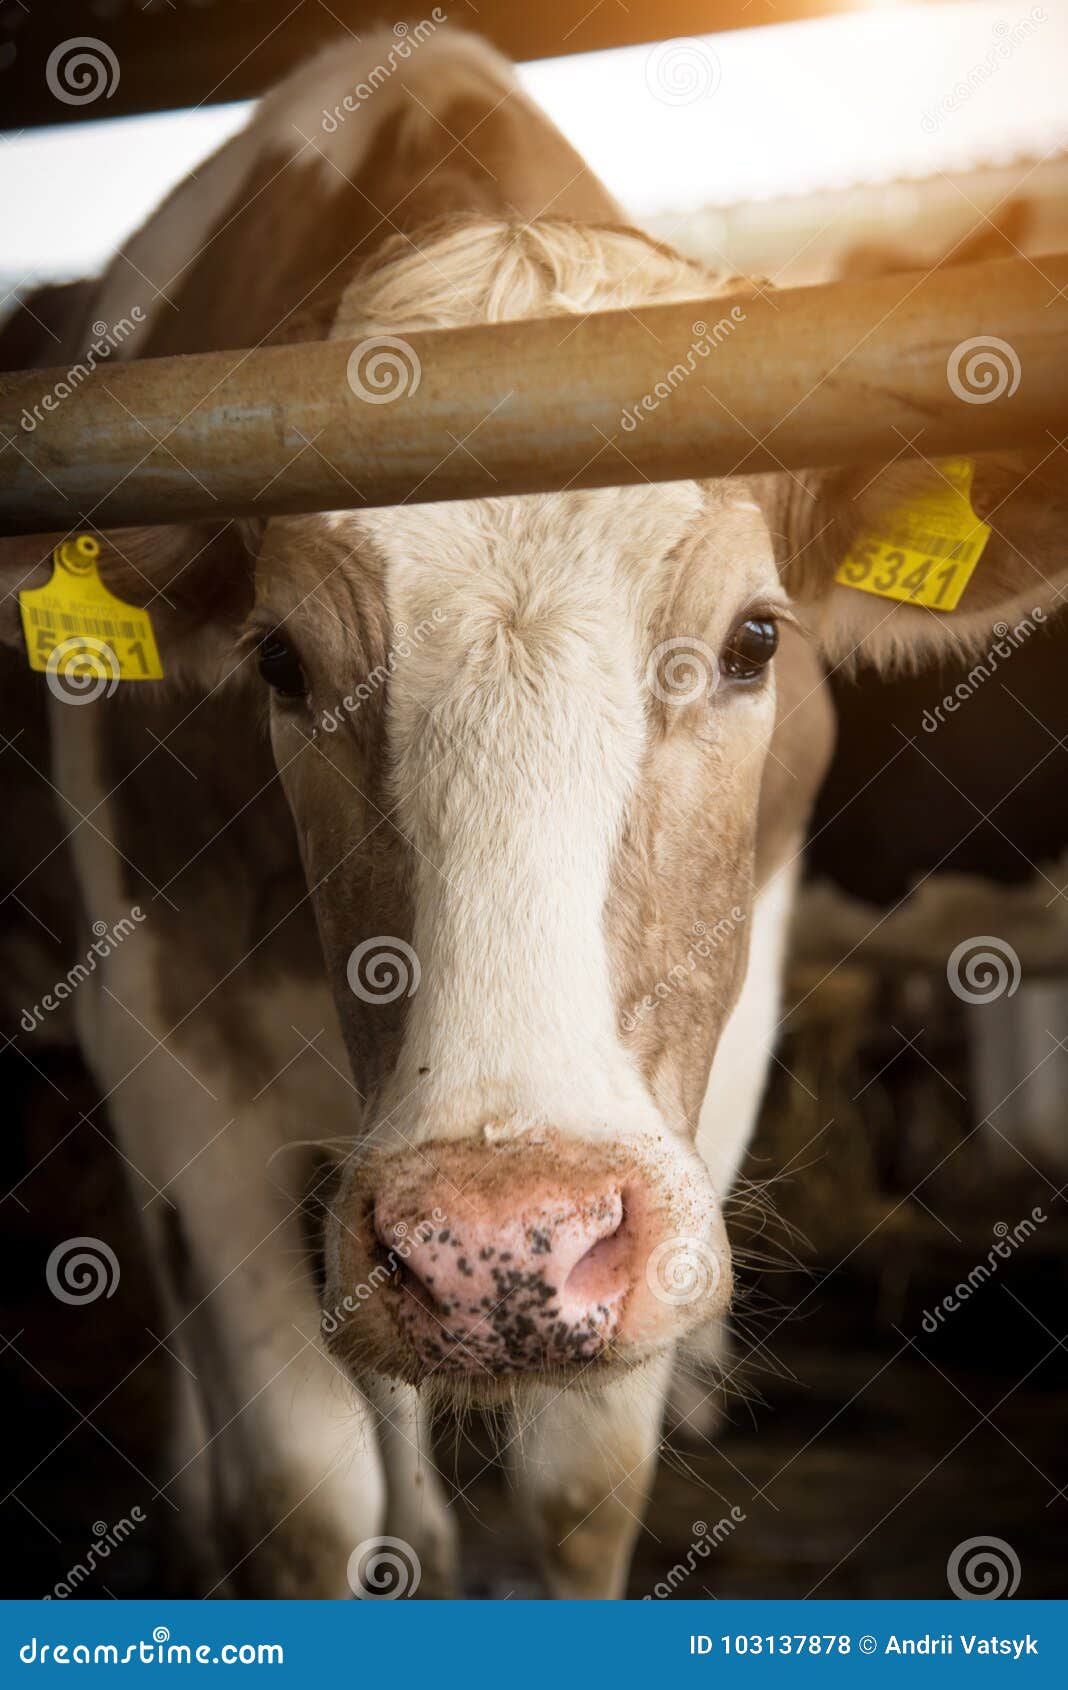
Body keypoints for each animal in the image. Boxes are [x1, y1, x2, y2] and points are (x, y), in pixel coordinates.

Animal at [2, 26, 1065, 1599]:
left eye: (755, 640)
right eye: (280, 661)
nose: (497, 1241)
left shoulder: (712, 1059)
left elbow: (580, 1496)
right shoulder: (170, 1036)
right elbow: (305, 1502)